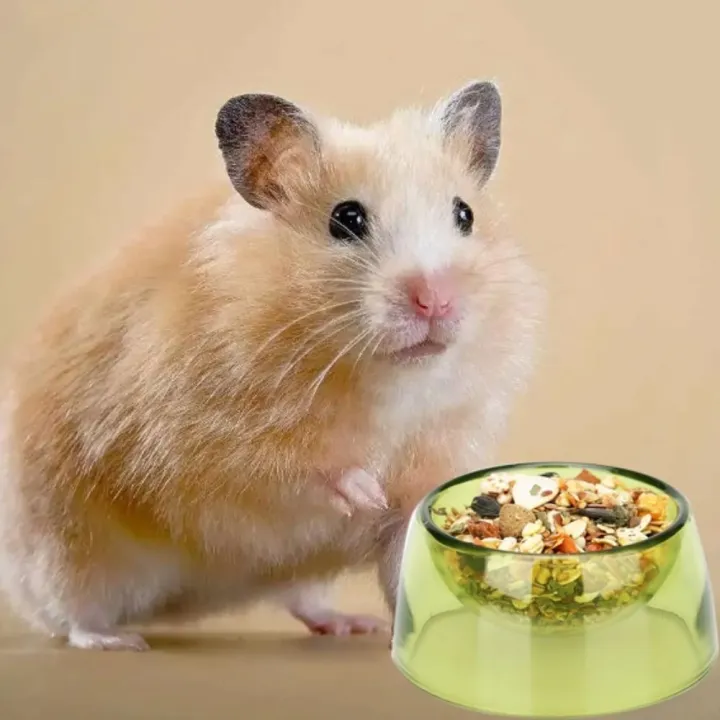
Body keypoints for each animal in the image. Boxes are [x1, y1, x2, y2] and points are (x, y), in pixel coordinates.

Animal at [0, 80, 543, 650]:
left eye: (465, 215)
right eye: (346, 218)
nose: (435, 301)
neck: (388, 376)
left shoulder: (434, 458)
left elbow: (405, 562)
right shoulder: (203, 439)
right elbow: (294, 467)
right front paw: (365, 492)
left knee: (301, 598)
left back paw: (349, 624)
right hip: (67, 545)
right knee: (70, 612)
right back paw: (115, 640)